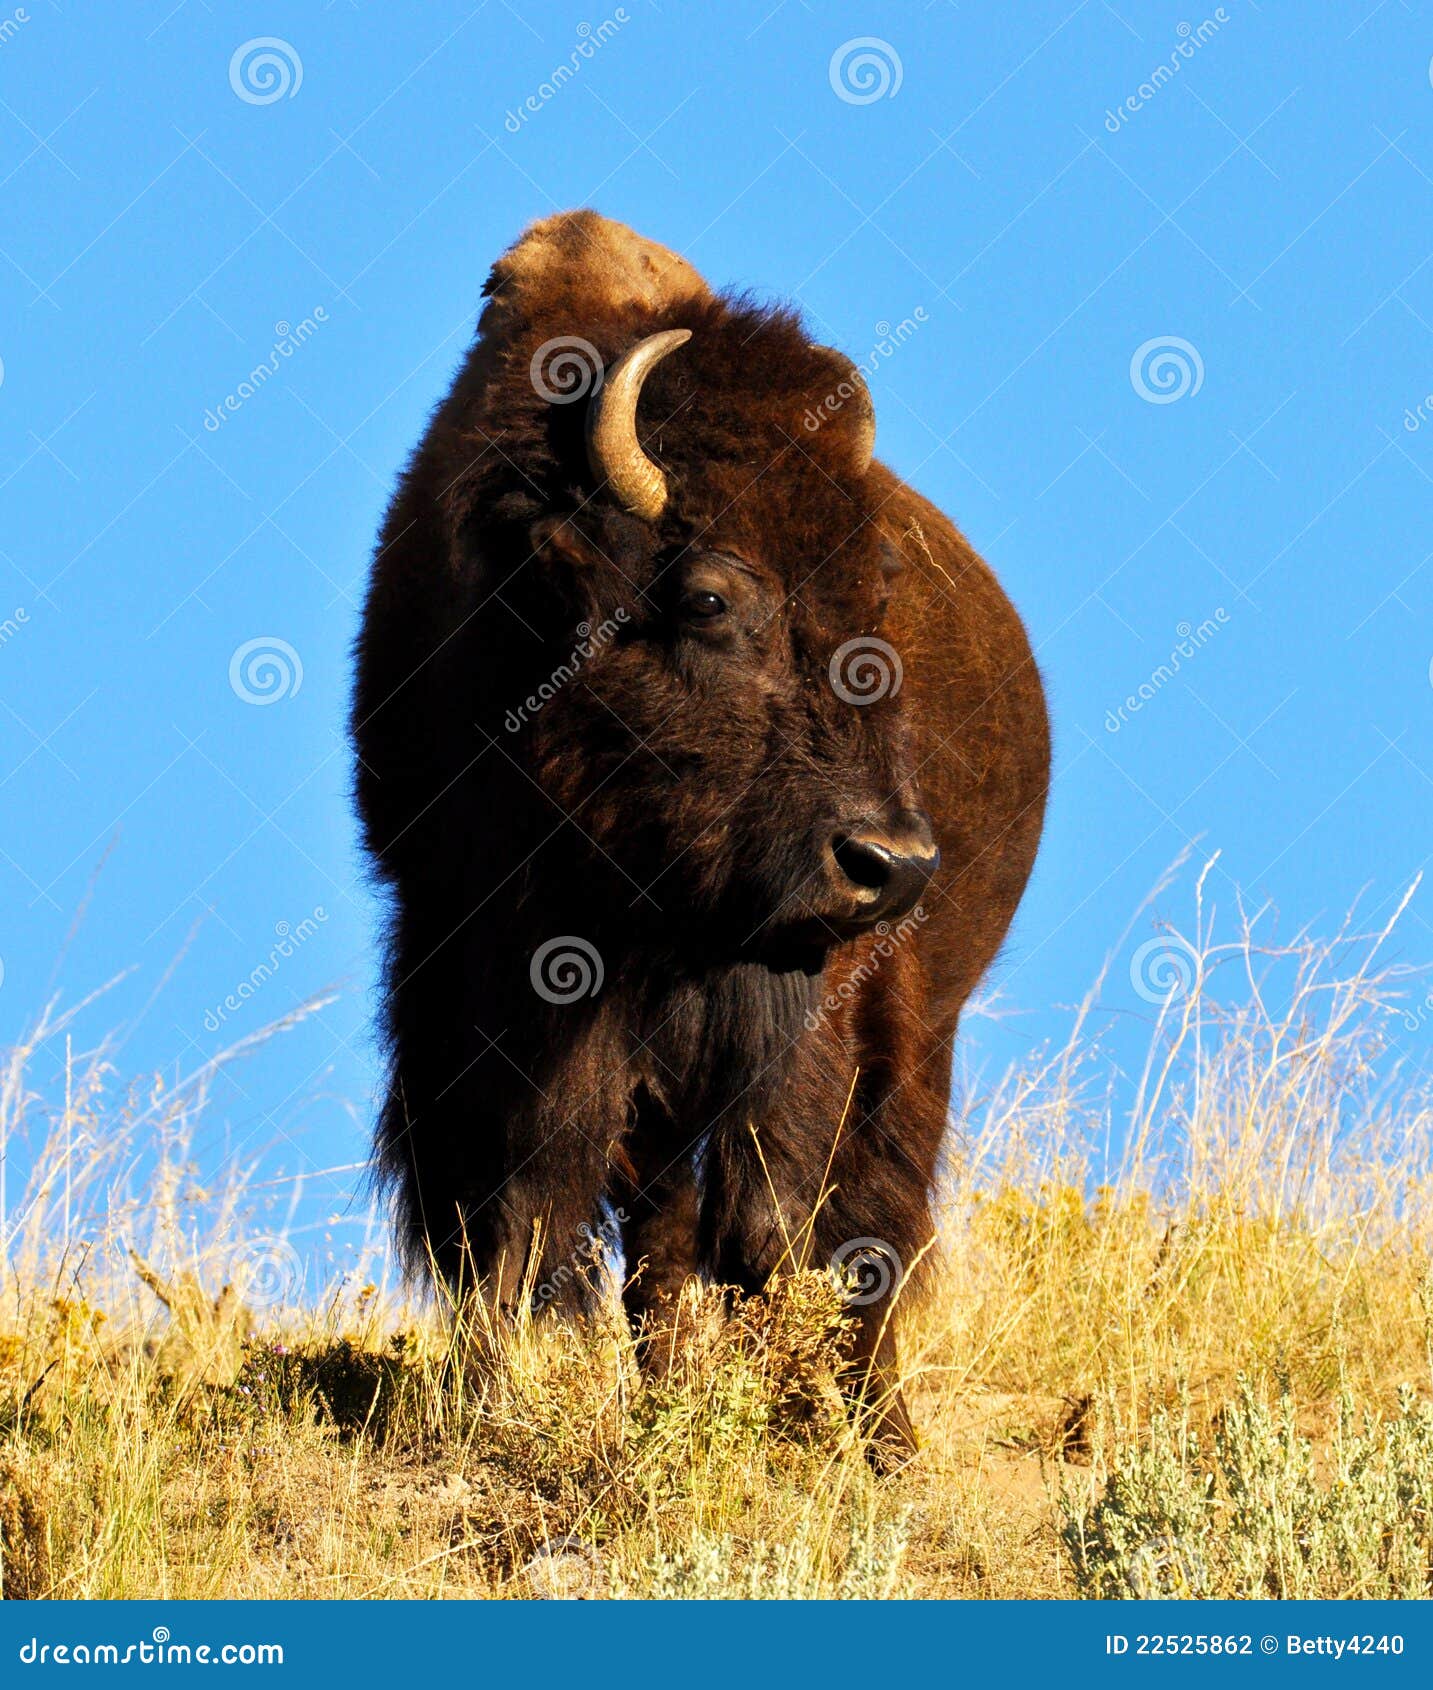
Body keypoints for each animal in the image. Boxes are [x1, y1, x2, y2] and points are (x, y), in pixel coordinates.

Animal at [352, 211, 1049, 1457]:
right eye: (711, 599)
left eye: (880, 592)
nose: (892, 865)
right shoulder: (482, 962)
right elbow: (522, 1204)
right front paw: (490, 1408)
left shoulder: (807, 988)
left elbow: (765, 1224)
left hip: (912, 1033)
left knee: (866, 1222)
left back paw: (875, 1433)